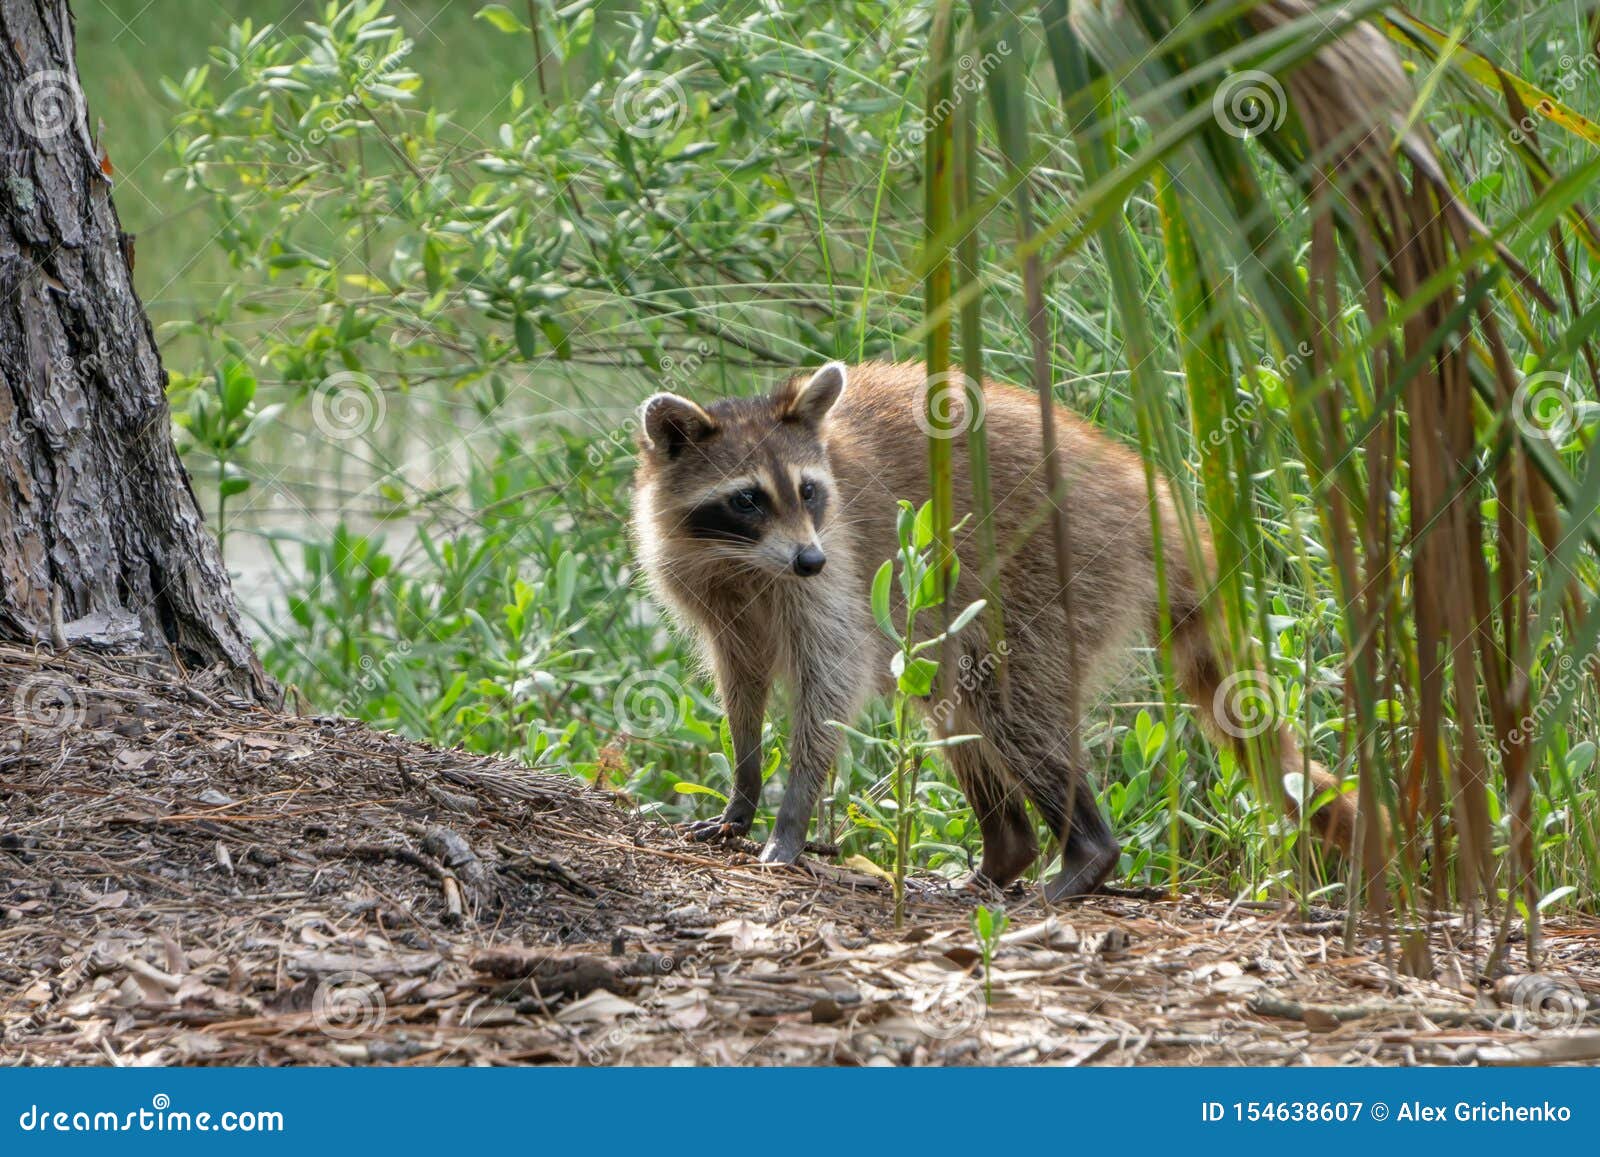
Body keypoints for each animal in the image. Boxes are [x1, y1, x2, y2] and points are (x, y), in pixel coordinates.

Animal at [631, 361, 1362, 898]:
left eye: (808, 490)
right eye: (747, 498)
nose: (809, 560)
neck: (743, 561)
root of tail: (1142, 489)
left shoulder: (838, 567)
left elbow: (831, 685)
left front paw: (792, 812)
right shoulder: (715, 593)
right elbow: (742, 684)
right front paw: (745, 786)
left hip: (1054, 576)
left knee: (1013, 708)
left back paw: (1086, 852)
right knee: (954, 700)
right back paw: (1005, 851)